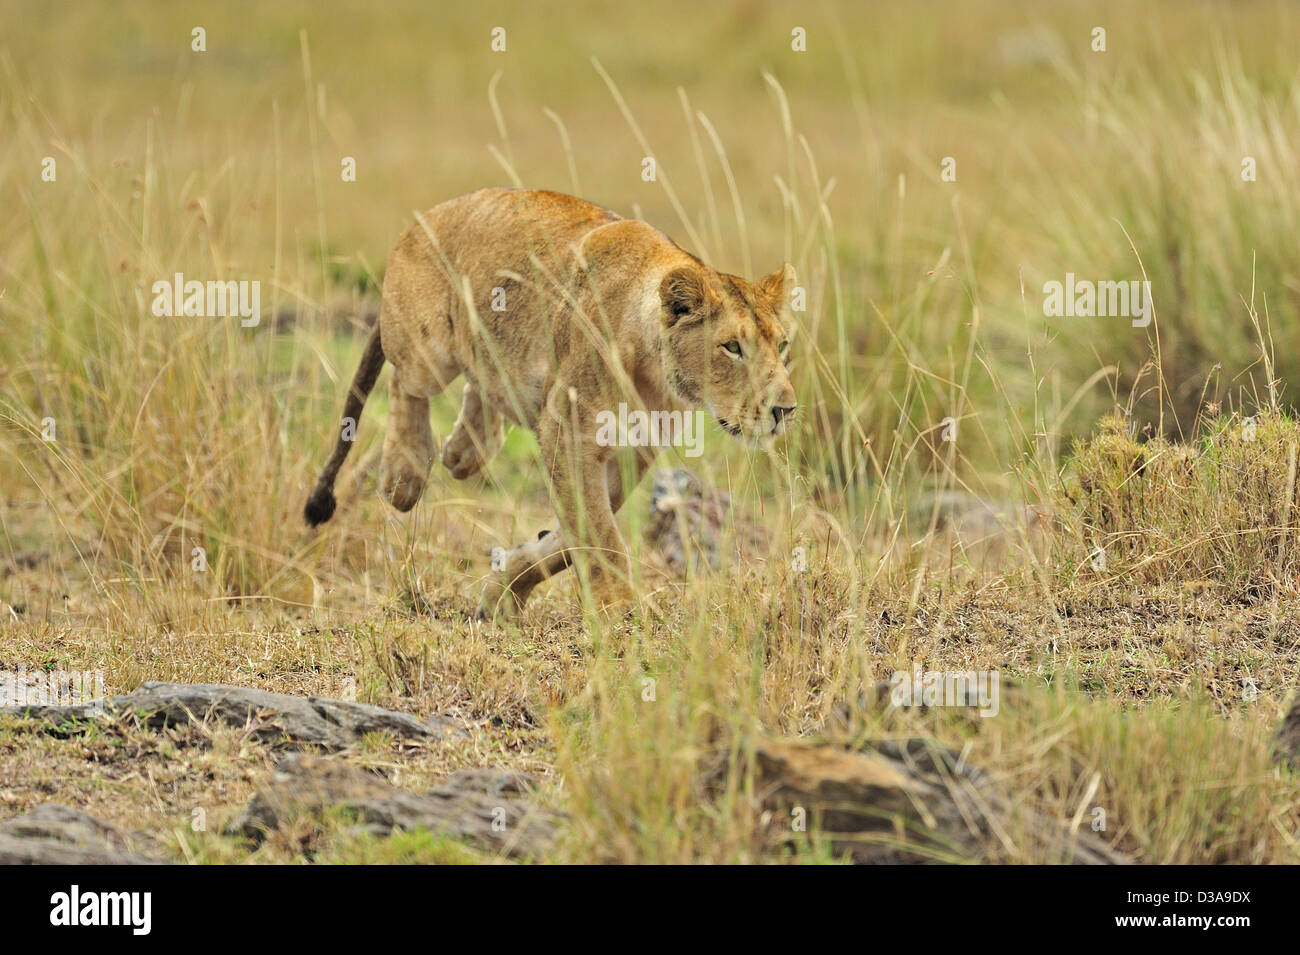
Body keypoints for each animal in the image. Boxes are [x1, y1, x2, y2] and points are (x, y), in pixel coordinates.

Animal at [304, 187, 797, 619]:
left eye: (782, 345)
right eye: (731, 347)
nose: (786, 410)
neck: (656, 376)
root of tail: (424, 217)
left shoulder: (633, 452)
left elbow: (573, 533)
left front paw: (505, 589)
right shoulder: (569, 433)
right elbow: (598, 533)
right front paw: (620, 609)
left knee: (479, 386)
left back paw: (464, 451)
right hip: (428, 349)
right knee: (406, 383)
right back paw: (404, 475)